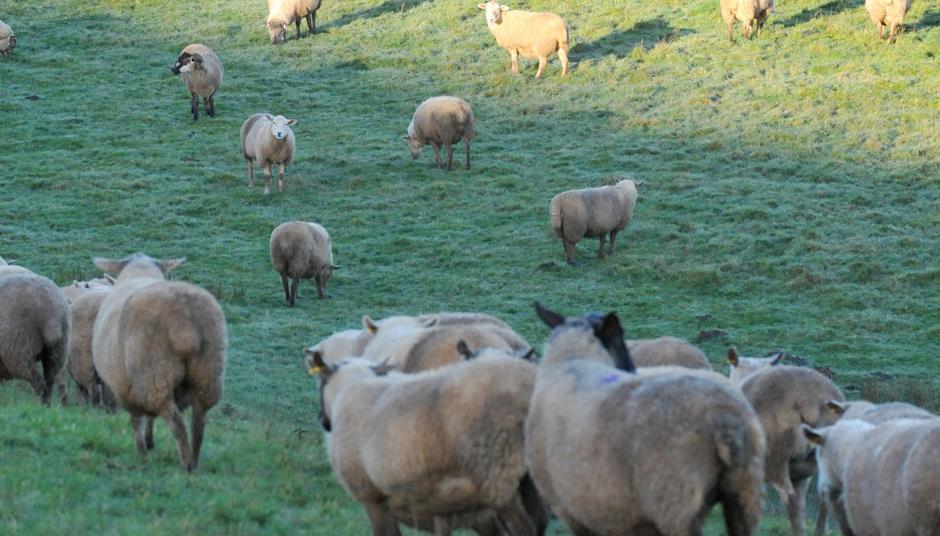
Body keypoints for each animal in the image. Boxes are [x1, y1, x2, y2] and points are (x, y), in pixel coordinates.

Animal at [92, 253, 226, 472]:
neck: (141, 271)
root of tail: (183, 318)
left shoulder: (125, 386)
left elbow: (136, 419)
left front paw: (142, 450)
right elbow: (149, 417)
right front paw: (149, 442)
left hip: (154, 372)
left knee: (176, 421)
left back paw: (187, 464)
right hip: (207, 372)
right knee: (199, 422)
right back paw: (195, 459)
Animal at [307, 349, 540, 534]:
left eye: (320, 382)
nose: (321, 419)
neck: (350, 388)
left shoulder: (373, 498)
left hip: (498, 478)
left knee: (524, 529)